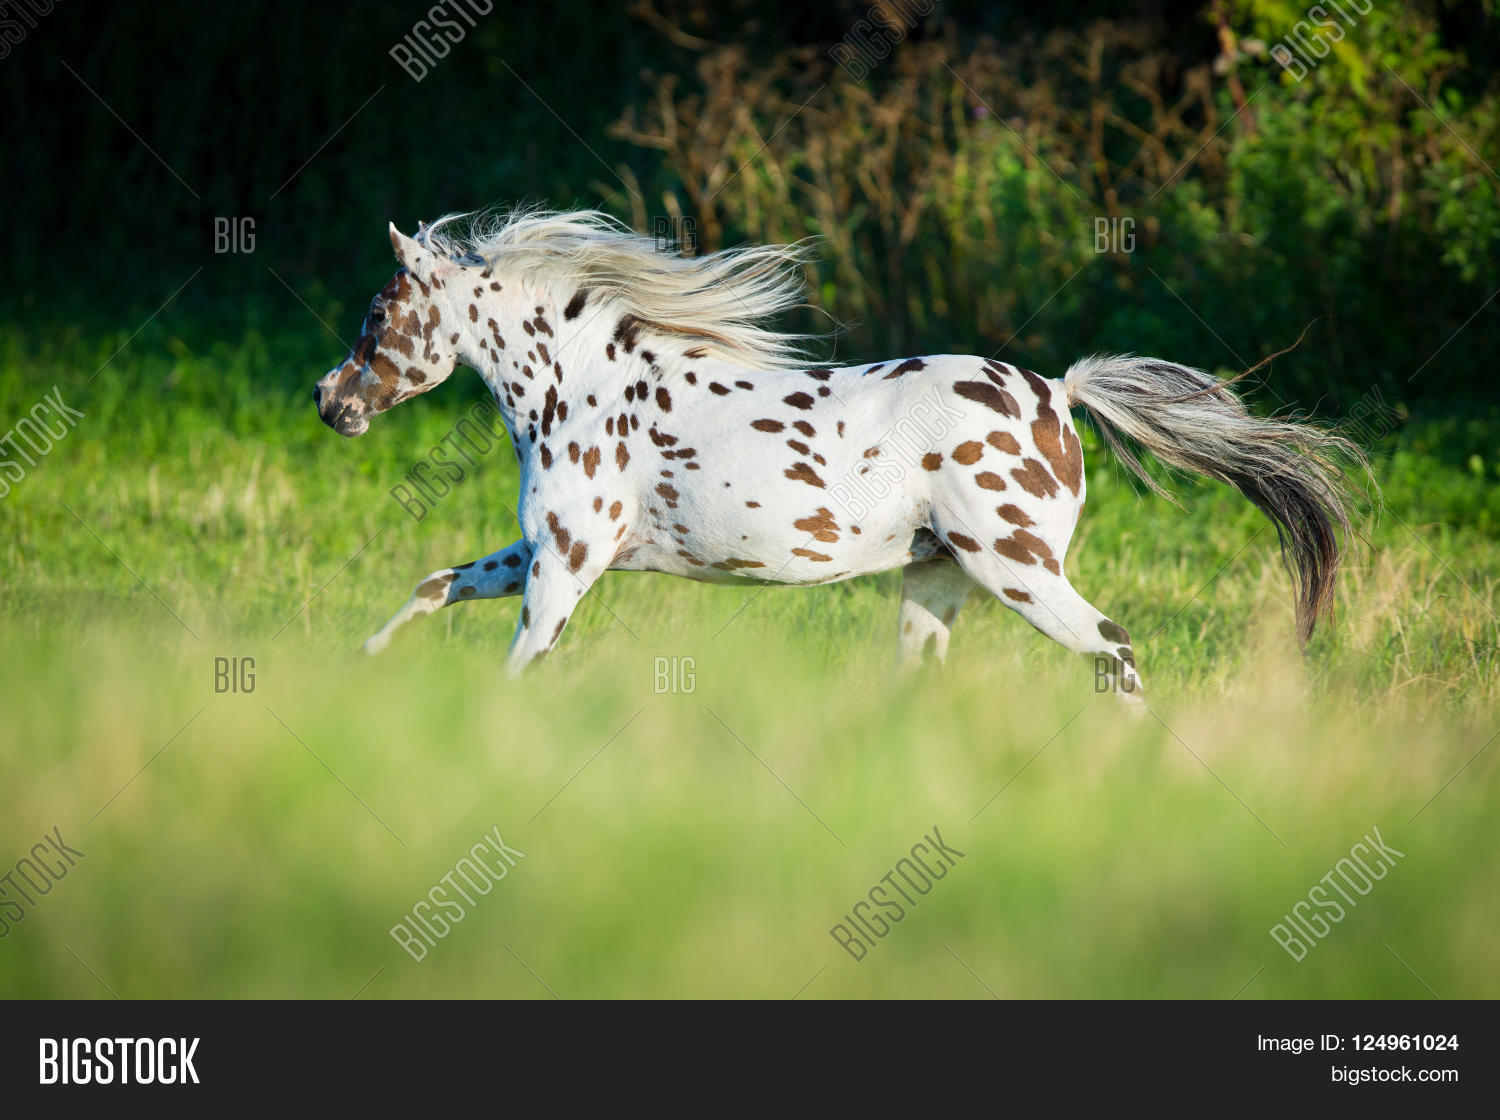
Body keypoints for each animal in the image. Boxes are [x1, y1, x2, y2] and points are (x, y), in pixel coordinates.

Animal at [312, 209, 1360, 700]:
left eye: (378, 314)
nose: (331, 401)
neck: (585, 390)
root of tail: (1060, 396)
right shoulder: (540, 553)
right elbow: (435, 585)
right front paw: (354, 670)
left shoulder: (567, 566)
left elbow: (521, 664)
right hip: (938, 582)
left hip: (1019, 570)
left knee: (1113, 649)